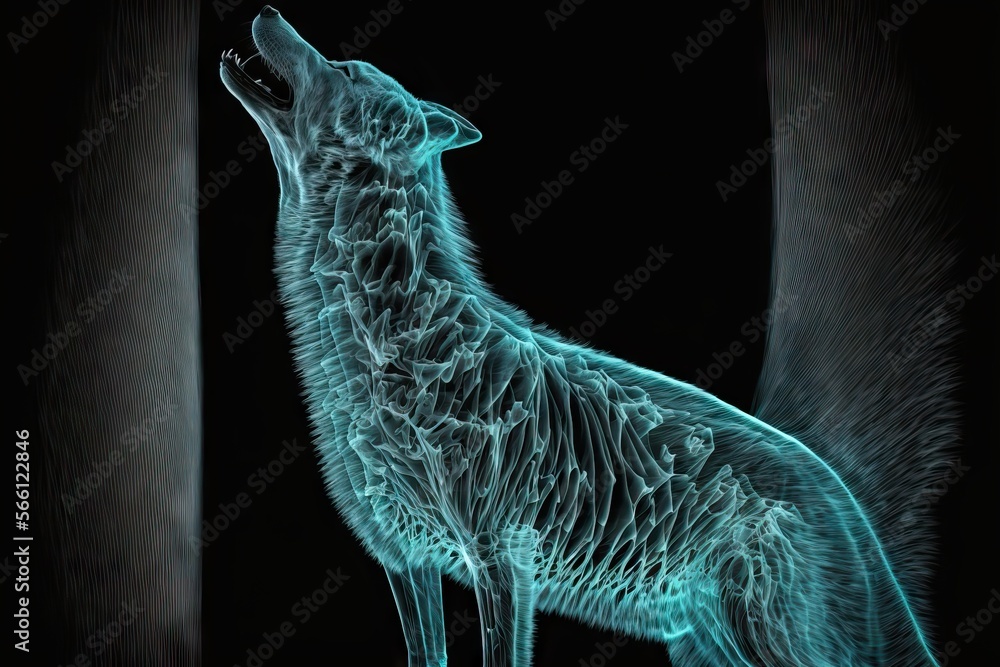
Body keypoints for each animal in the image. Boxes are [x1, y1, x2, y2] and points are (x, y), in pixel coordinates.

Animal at [221, 5, 956, 665]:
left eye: (344, 68)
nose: (266, 9)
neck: (398, 340)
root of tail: (847, 504)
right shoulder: (406, 564)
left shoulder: (499, 561)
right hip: (709, 646)